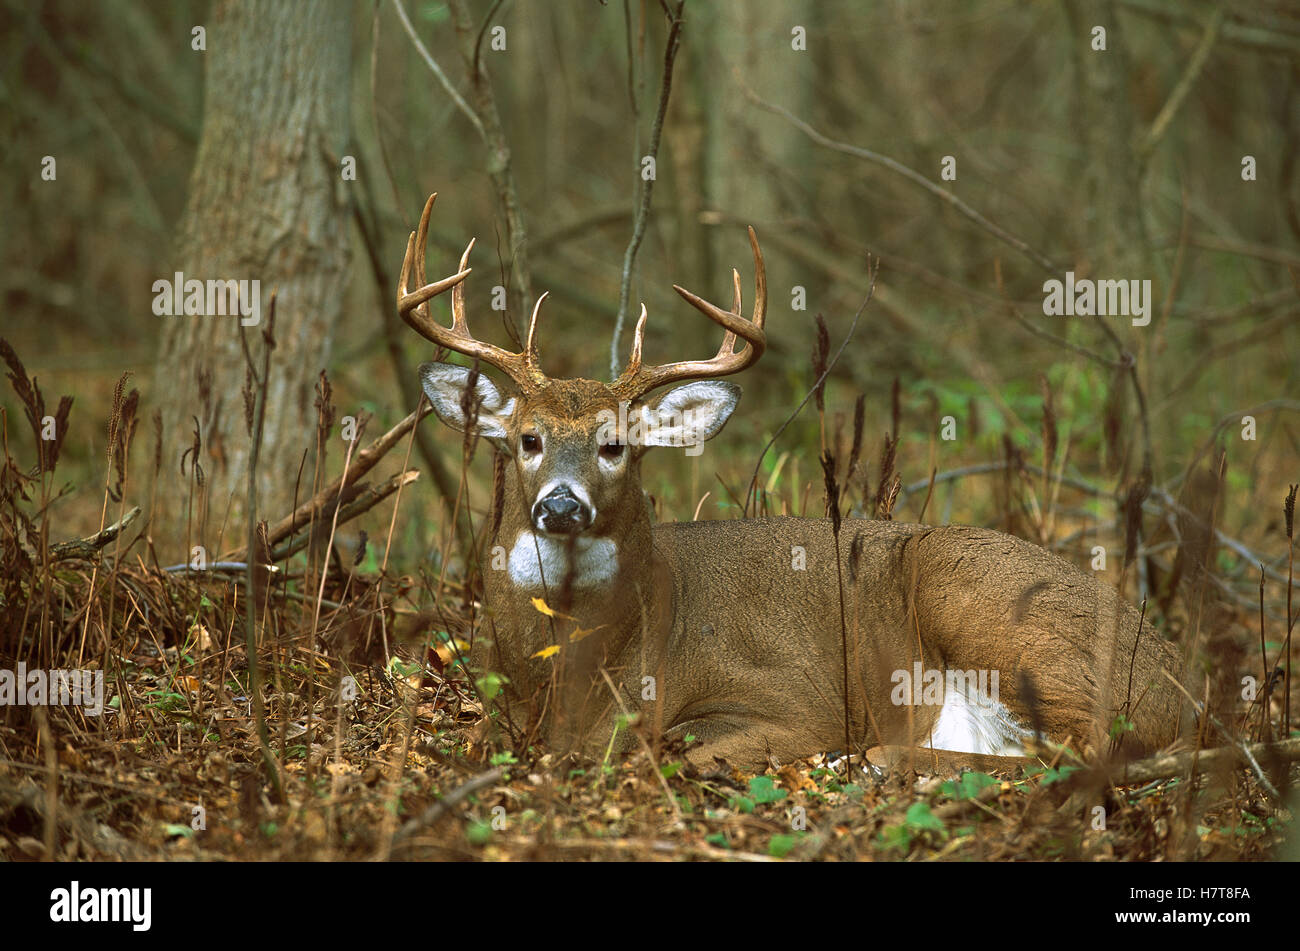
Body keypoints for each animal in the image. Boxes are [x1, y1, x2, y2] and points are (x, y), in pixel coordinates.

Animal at [397, 193, 1186, 773]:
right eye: (527, 439)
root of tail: (1186, 688)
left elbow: (672, 754)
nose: (561, 503)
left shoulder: (794, 700)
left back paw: (876, 759)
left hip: (981, 603)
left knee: (1086, 752)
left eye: (615, 445)